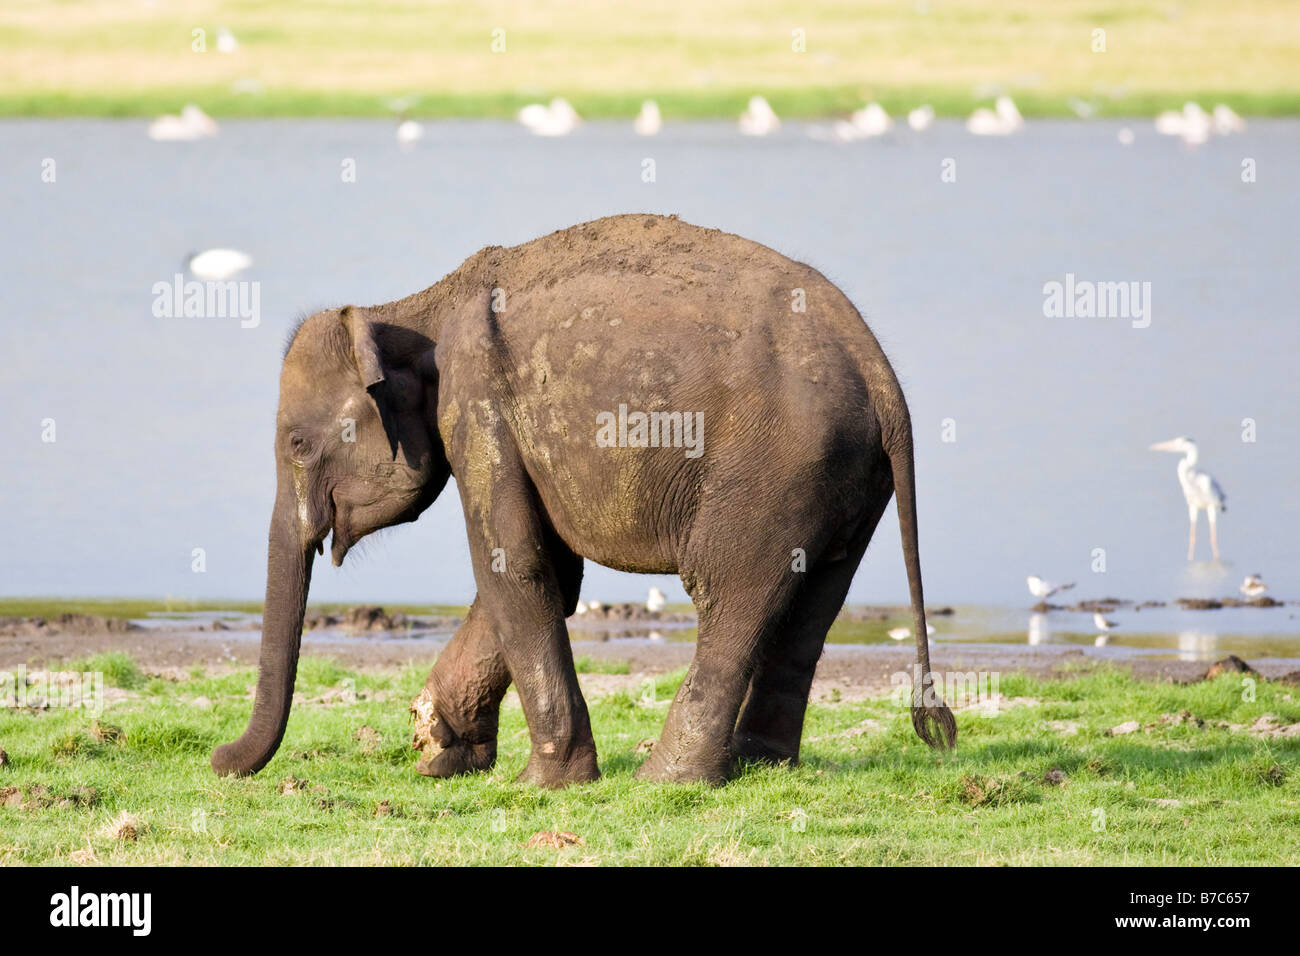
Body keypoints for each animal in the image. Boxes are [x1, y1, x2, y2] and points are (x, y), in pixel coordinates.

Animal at [210, 213, 955, 788]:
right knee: (812, 608)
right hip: (847, 482)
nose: (219, 758)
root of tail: (883, 378)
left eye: (297, 444)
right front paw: (443, 753)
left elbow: (515, 565)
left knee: (730, 595)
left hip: (775, 469)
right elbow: (552, 571)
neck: (416, 308)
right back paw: (760, 767)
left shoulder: (478, 403)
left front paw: (542, 783)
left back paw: (668, 780)